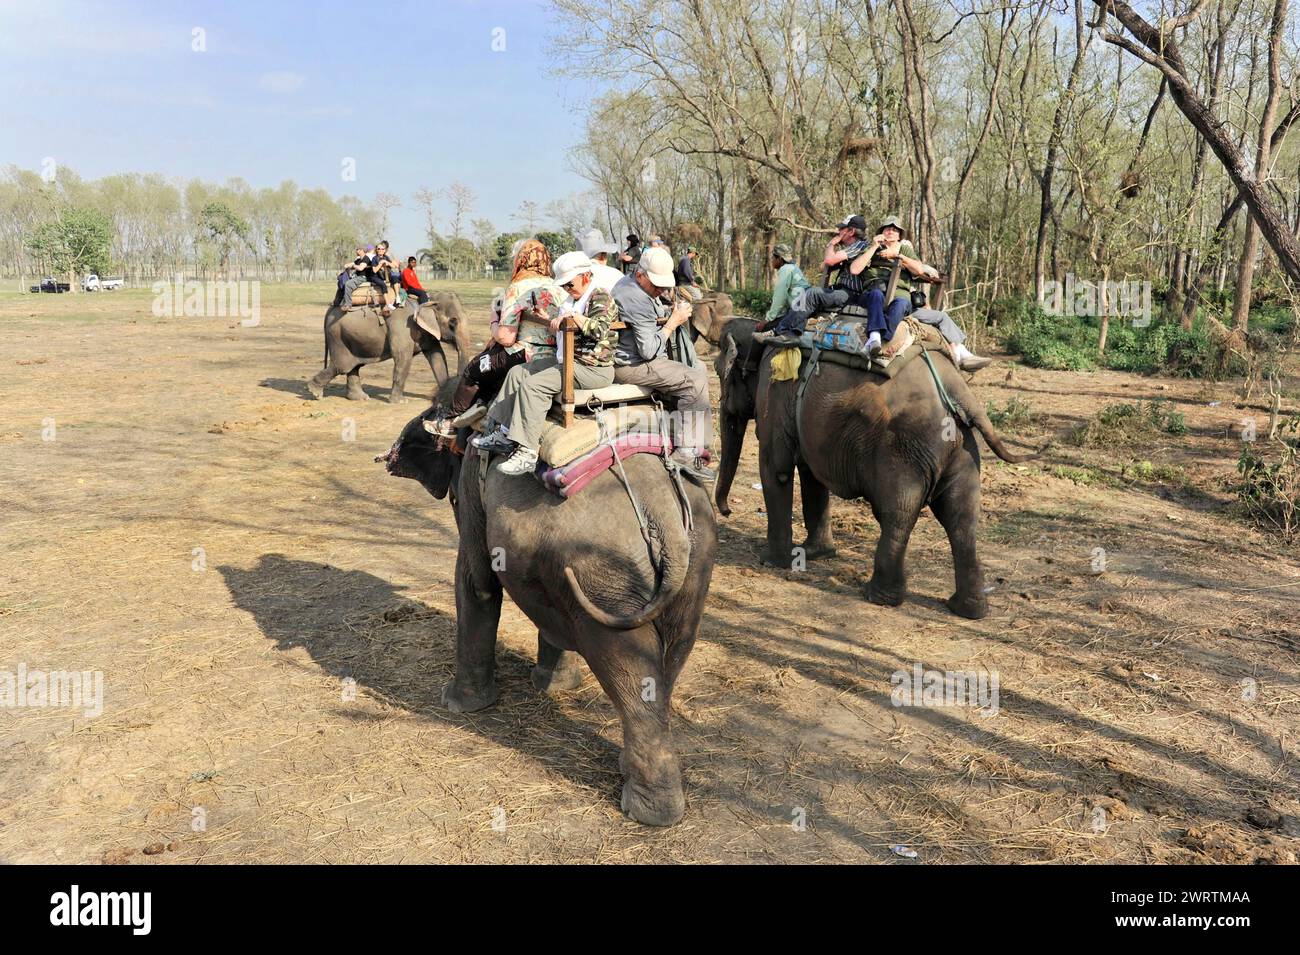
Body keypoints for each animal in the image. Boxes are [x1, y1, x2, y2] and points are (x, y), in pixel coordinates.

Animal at [307, 290, 472, 403]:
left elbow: (437, 356)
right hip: (338, 336)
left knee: (353, 366)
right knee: (342, 366)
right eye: (453, 322)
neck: (427, 299)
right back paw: (315, 392)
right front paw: (401, 402)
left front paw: (442, 394)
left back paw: (360, 398)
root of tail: (330, 308)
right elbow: (402, 357)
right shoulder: (402, 327)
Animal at [376, 389, 718, 826]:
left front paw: (455, 704)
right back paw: (632, 772)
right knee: (670, 657)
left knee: (626, 662)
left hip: (605, 574)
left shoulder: (472, 484)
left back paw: (648, 812)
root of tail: (663, 515)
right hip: (694, 568)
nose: (386, 458)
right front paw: (554, 686)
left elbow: (475, 581)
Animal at [754, 346, 1036, 619]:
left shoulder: (775, 388)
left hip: (902, 449)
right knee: (961, 518)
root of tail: (957, 388)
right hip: (963, 449)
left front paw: (772, 561)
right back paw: (968, 609)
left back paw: (879, 597)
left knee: (897, 514)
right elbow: (809, 473)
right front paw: (816, 554)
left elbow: (777, 469)